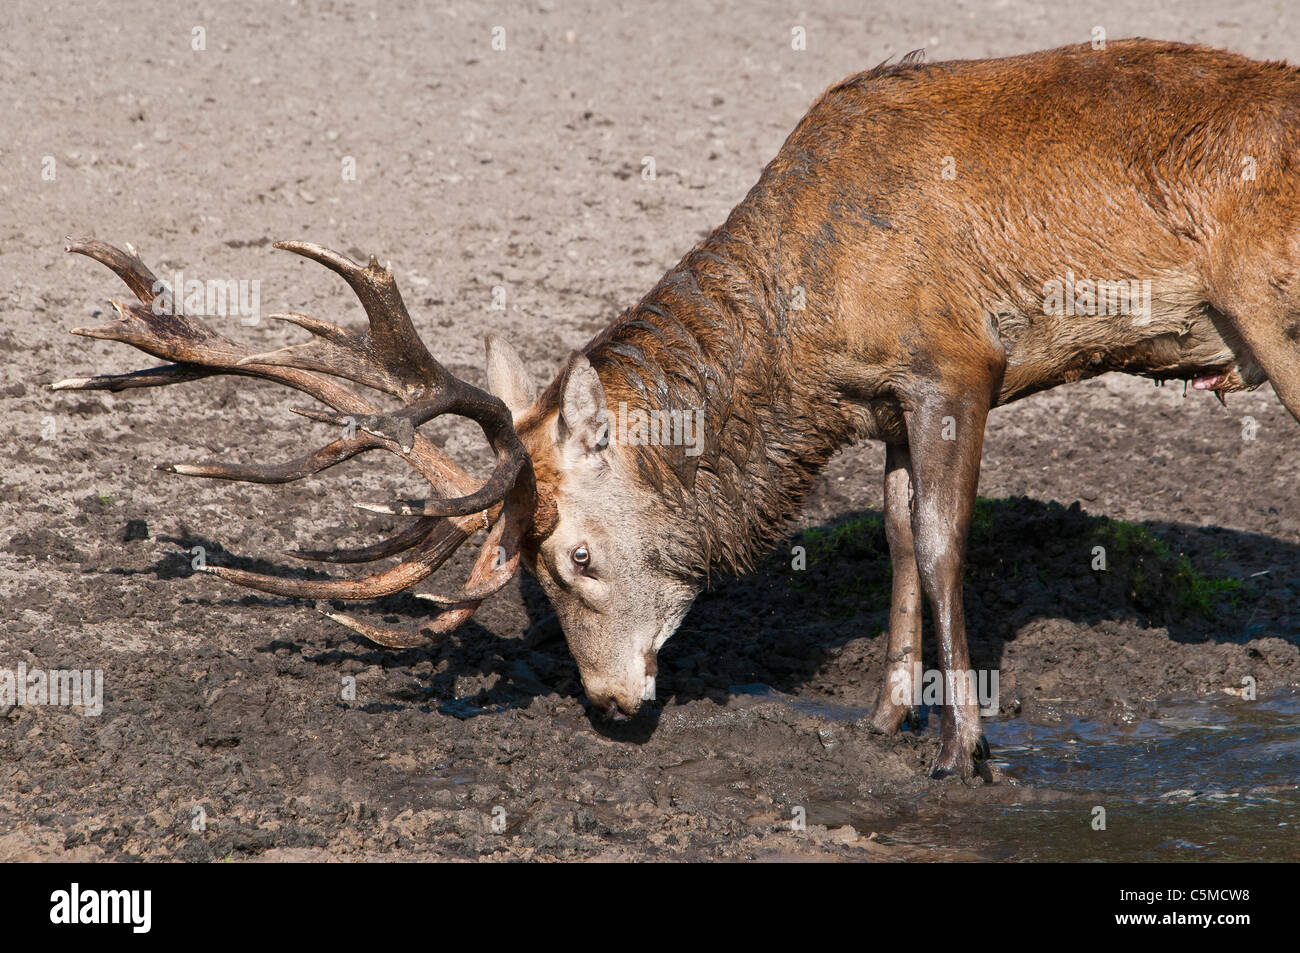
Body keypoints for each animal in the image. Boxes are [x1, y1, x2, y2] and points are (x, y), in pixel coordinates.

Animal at [53, 39, 1300, 779]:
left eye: (576, 557)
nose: (611, 702)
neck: (807, 327)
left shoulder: (956, 360)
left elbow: (948, 543)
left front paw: (963, 747)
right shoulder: (885, 394)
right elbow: (900, 536)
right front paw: (882, 721)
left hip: (1274, 316)